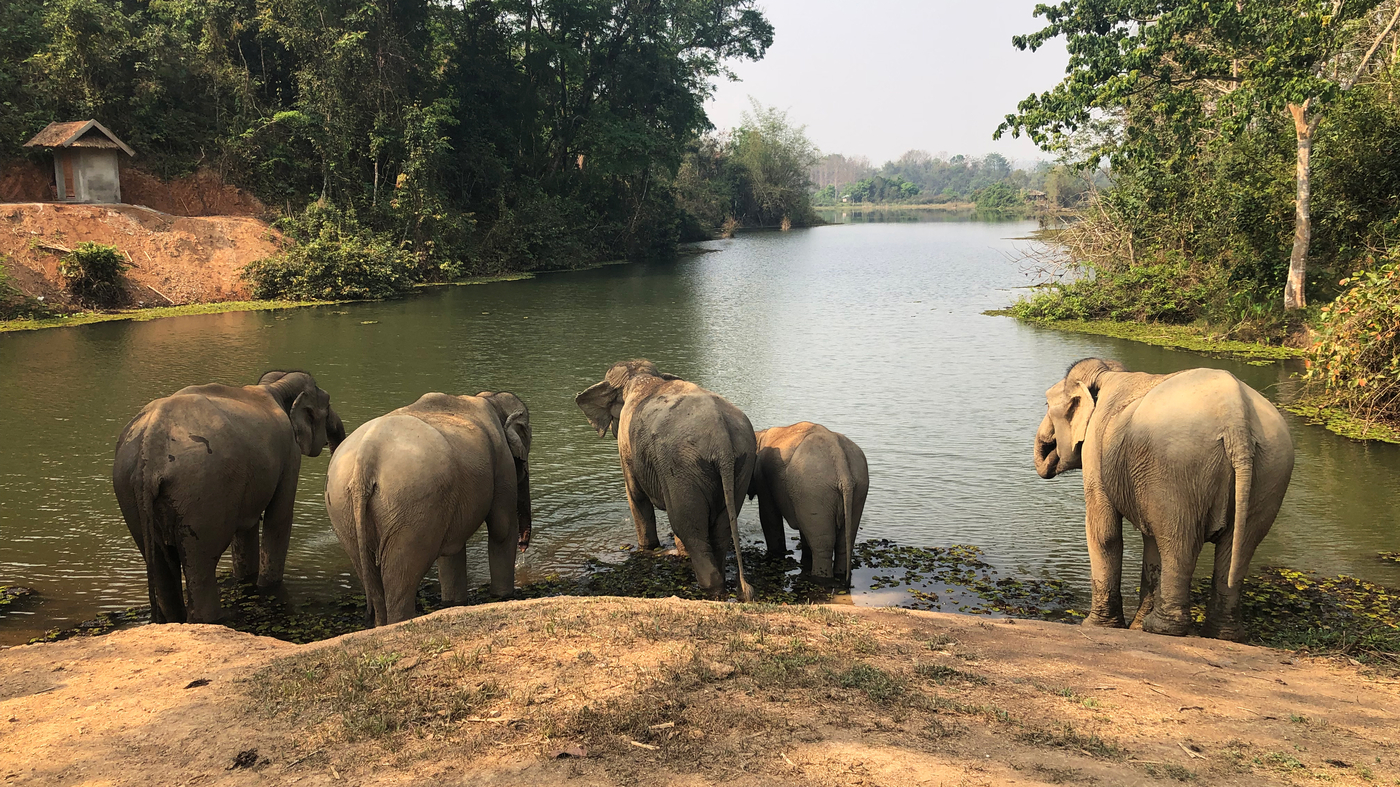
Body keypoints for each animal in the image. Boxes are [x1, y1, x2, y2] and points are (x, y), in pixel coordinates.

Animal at [113, 370, 342, 624]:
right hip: (201, 491)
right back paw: (210, 620)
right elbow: (279, 517)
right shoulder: (290, 453)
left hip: (130, 492)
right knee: (202, 563)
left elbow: (247, 527)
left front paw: (247, 579)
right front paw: (268, 586)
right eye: (328, 405)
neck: (276, 386)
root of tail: (149, 449)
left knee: (163, 565)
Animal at [324, 392, 532, 626]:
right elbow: (502, 529)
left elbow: (452, 549)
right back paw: (401, 621)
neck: (488, 397)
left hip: (343, 508)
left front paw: (454, 603)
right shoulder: (502, 460)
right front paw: (503, 596)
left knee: (371, 574)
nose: (523, 547)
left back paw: (381, 624)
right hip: (410, 508)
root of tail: (365, 460)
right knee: (402, 577)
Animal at [576, 359, 757, 601]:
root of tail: (722, 441)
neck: (643, 378)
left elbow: (636, 497)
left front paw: (647, 549)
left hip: (681, 467)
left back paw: (704, 584)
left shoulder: (627, 450)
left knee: (689, 529)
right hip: (740, 465)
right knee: (721, 528)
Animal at [749, 422, 869, 588]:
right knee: (844, 542)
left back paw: (820, 578)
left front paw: (776, 553)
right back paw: (840, 577)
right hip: (856, 487)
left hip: (814, 488)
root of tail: (840, 459)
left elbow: (769, 516)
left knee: (823, 547)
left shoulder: (762, 477)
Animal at [1034, 358, 1294, 640]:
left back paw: (1162, 628)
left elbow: (1105, 532)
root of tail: (1236, 417)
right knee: (1240, 546)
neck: (1107, 373)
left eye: (1046, 405)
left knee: (1178, 541)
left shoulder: (1096, 446)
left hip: (1177, 467)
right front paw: (1134, 627)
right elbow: (1151, 540)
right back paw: (1221, 634)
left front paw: (1096, 626)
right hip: (1271, 469)